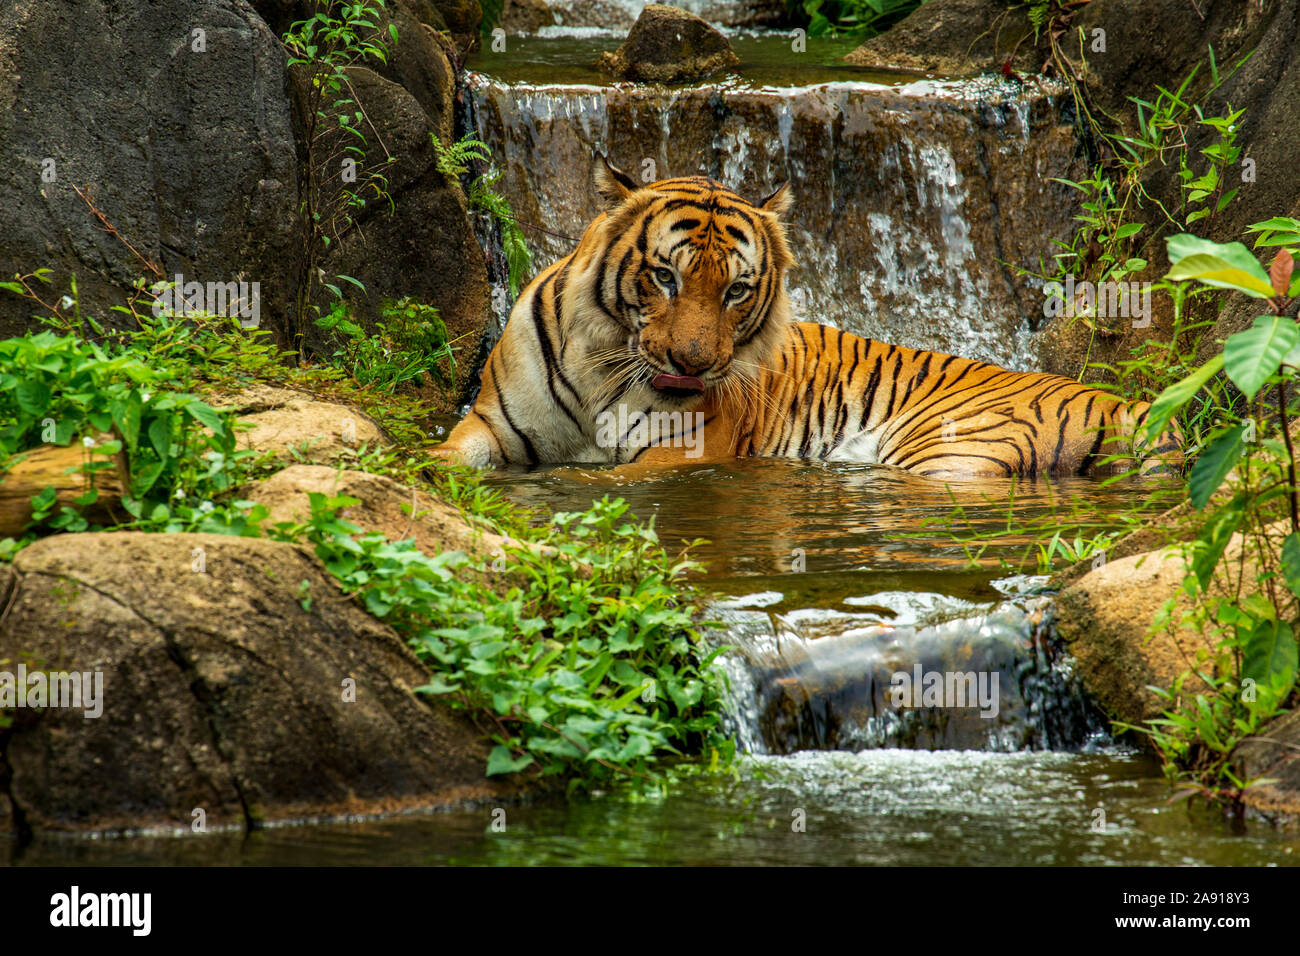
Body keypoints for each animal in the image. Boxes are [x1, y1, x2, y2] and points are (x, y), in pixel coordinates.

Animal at [432, 156, 1183, 480]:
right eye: (665, 276)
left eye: (737, 291)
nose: (692, 365)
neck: (601, 367)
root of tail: (1120, 399)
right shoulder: (493, 424)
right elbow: (447, 456)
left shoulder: (681, 451)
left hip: (951, 449)